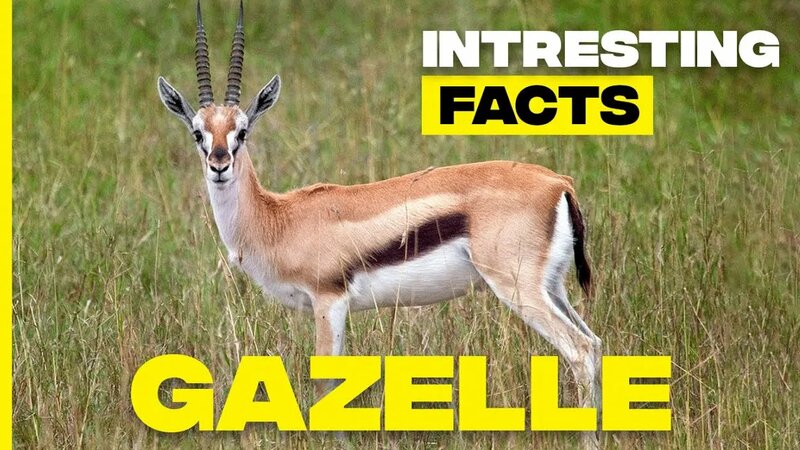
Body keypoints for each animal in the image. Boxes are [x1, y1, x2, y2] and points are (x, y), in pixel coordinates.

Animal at [158, 1, 602, 444]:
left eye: (242, 131)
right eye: (198, 132)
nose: (219, 166)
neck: (277, 219)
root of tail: (557, 183)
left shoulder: (329, 301)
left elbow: (326, 384)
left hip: (517, 287)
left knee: (579, 349)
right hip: (552, 287)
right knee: (595, 345)